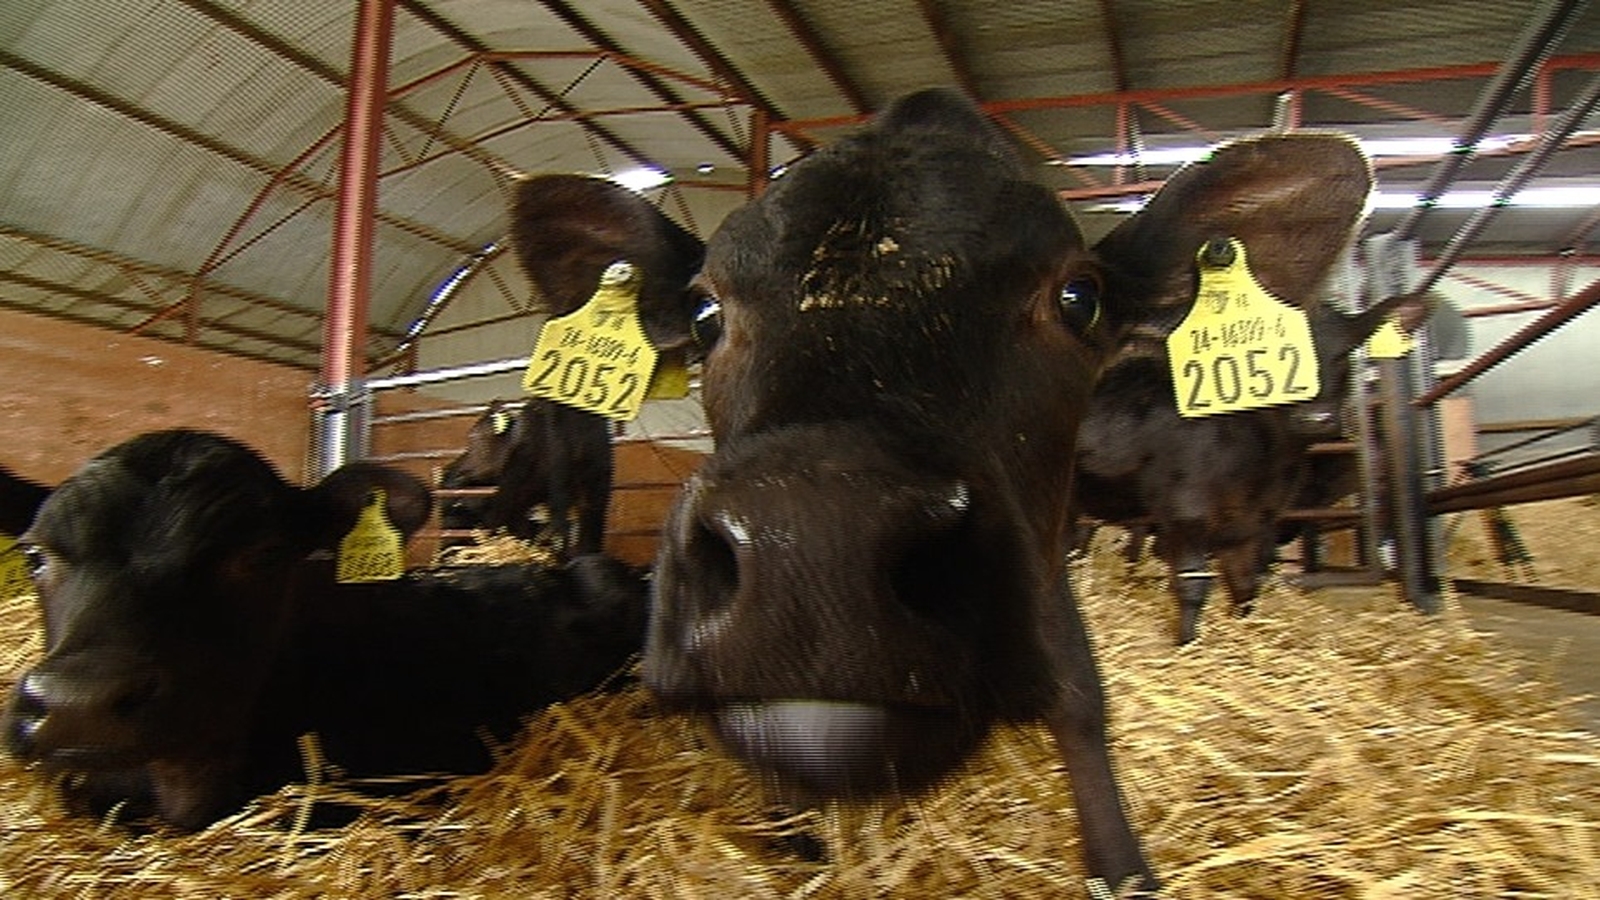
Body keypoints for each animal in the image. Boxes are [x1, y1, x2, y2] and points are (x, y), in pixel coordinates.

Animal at [1072, 134, 1429, 645]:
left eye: (1350, 353)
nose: (1315, 419)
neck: (1262, 463)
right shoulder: (1183, 515)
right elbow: (1191, 588)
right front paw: (1185, 646)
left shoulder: (1255, 529)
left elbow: (1245, 589)